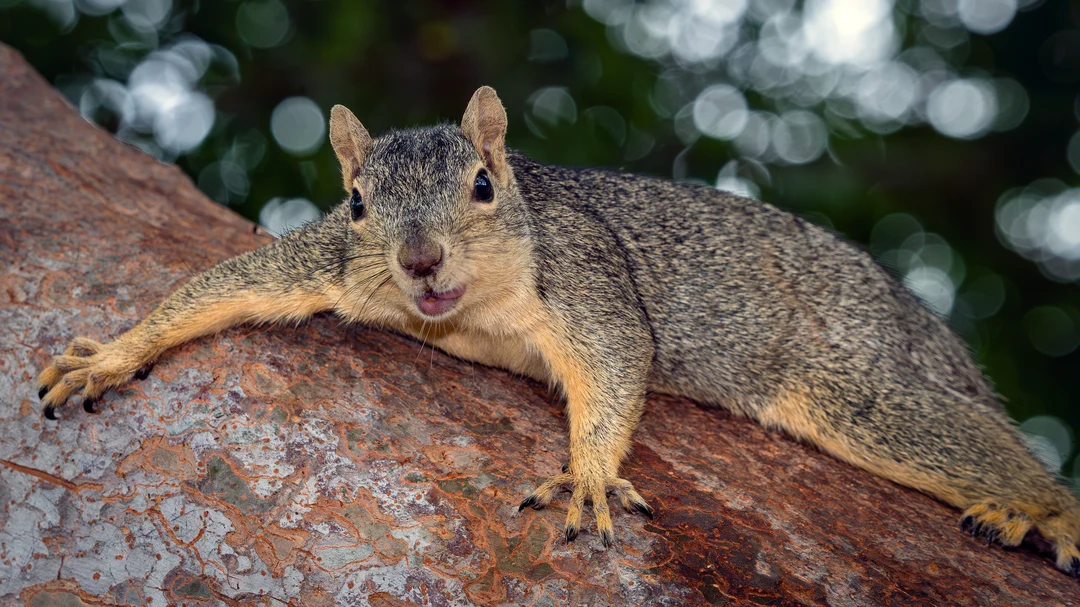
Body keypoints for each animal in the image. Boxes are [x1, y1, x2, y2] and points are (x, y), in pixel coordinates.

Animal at [36, 86, 1080, 574]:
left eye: (484, 186)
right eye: (358, 202)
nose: (419, 263)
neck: (472, 307)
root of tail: (913, 320)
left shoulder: (584, 275)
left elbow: (617, 363)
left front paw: (585, 475)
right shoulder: (329, 261)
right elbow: (227, 284)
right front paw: (113, 356)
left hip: (850, 378)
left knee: (951, 431)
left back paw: (1042, 506)